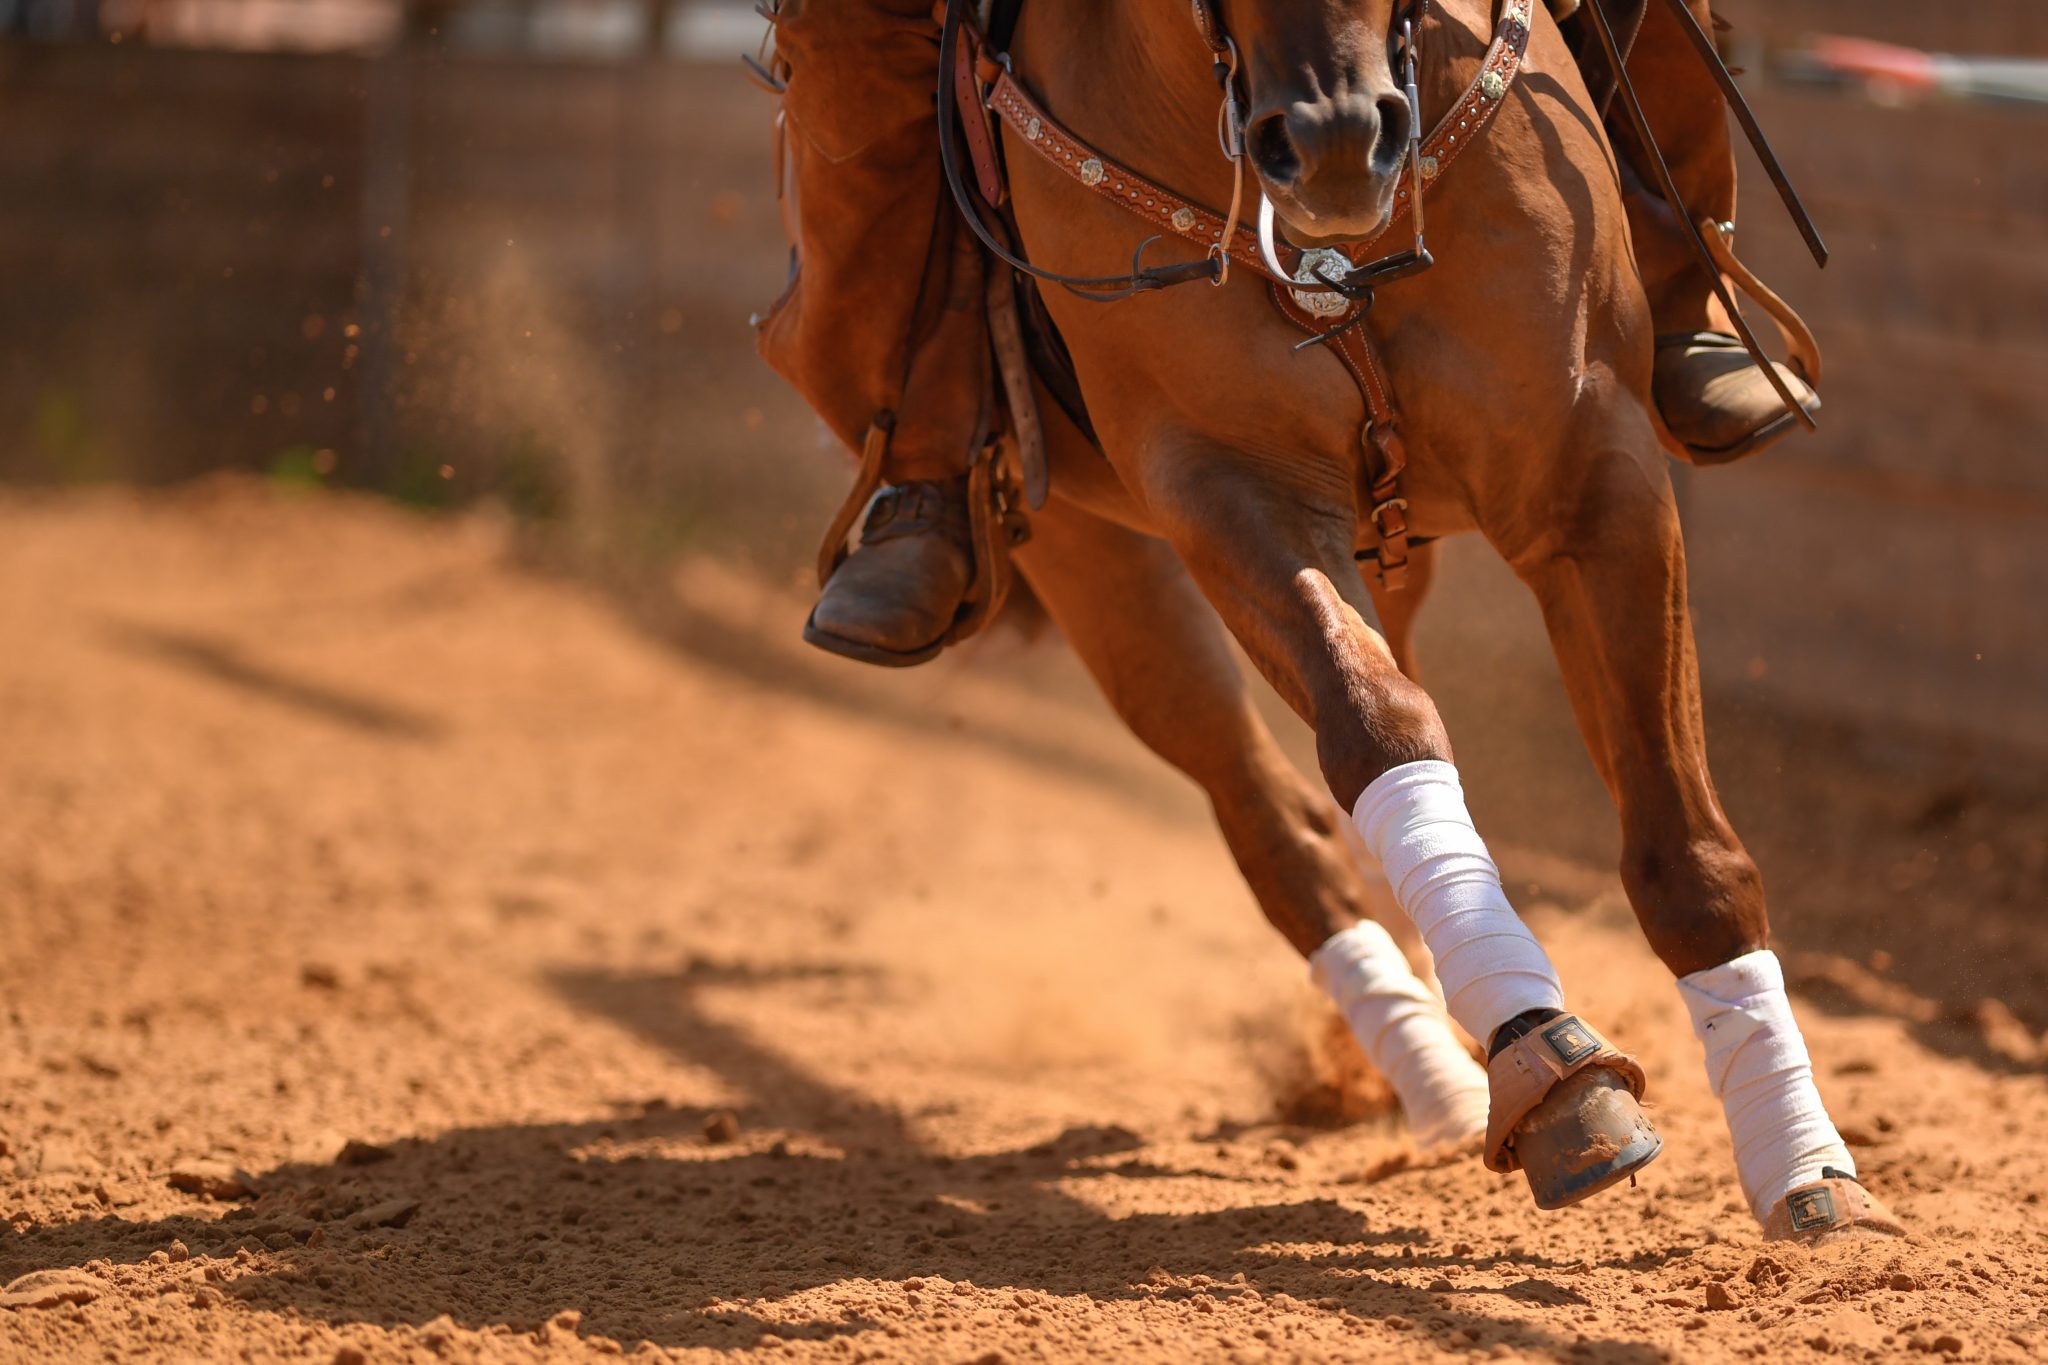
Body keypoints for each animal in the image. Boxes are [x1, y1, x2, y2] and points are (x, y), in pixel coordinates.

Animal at [928, 0, 1894, 1237]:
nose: (1335, 142)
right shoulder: (1221, 485)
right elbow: (1375, 727)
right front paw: (1550, 1072)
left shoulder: (1593, 474)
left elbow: (1684, 844)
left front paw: (1807, 1171)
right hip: (1091, 551)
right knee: (1275, 819)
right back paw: (1435, 1072)